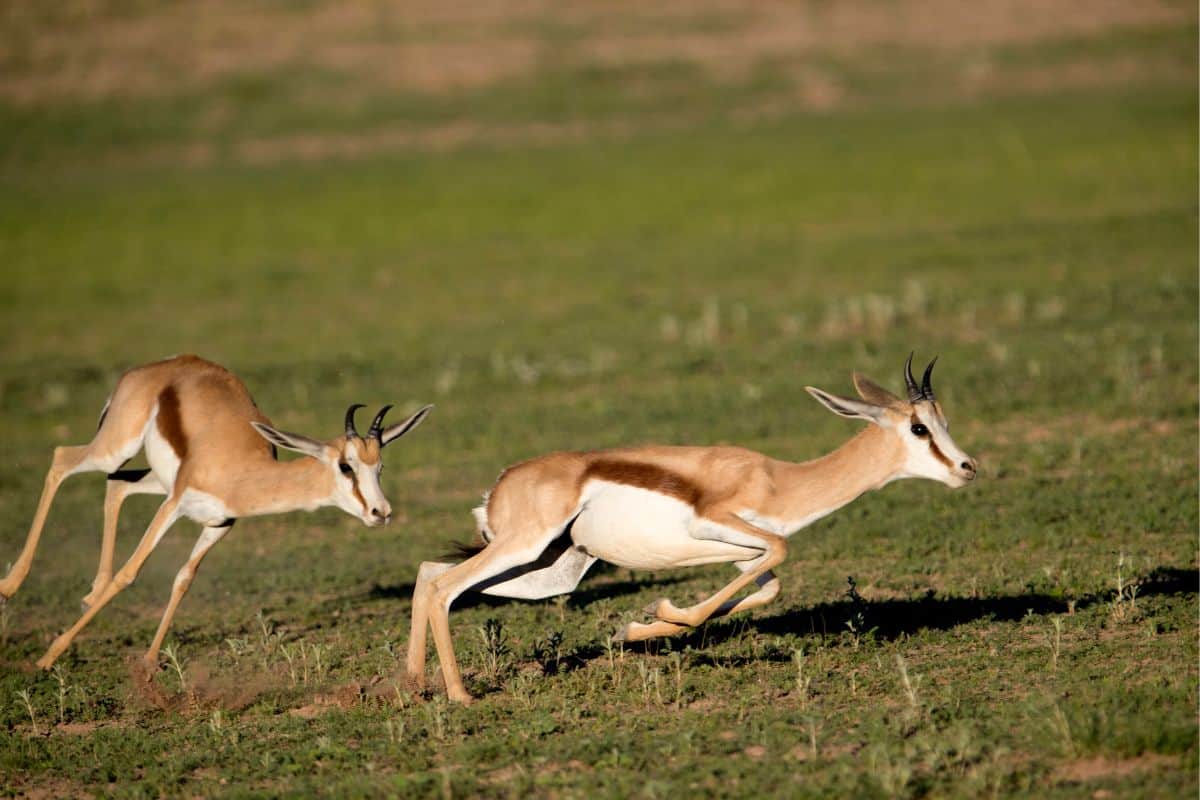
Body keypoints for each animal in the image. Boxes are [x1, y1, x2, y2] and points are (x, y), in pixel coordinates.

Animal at [0, 354, 432, 673]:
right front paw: (50, 655)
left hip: (154, 478)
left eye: (380, 467)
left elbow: (183, 580)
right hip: (116, 449)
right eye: (346, 466)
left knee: (116, 485)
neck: (243, 469)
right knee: (61, 460)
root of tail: (152, 368)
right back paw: (11, 586)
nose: (380, 512)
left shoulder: (218, 524)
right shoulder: (173, 506)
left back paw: (90, 593)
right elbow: (131, 572)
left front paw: (149, 661)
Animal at [404, 354, 976, 703]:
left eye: (942, 422)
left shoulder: (742, 554)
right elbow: (779, 551)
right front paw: (654, 614)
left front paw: (637, 628)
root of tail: (502, 482)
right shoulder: (717, 523)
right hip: (524, 548)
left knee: (429, 571)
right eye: (919, 428)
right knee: (445, 586)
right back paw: (460, 695)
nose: (967, 467)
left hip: (547, 569)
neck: (780, 480)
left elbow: (768, 588)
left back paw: (412, 684)